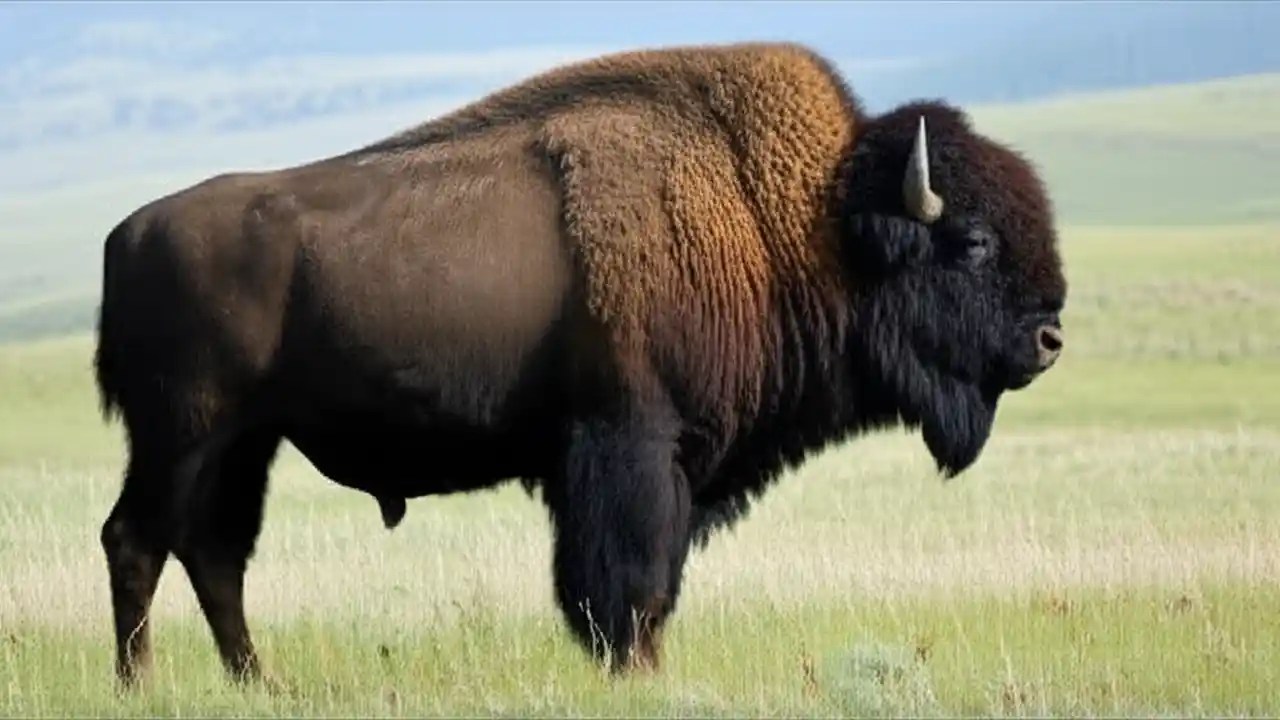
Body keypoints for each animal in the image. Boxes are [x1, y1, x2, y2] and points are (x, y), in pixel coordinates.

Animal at [93, 41, 1067, 685]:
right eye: (973, 241)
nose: (1050, 339)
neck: (793, 225)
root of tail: (127, 233)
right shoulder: (630, 444)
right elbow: (627, 582)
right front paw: (632, 671)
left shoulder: (669, 468)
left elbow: (651, 582)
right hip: (182, 433)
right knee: (137, 540)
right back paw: (142, 686)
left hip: (244, 445)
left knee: (214, 553)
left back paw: (259, 683)